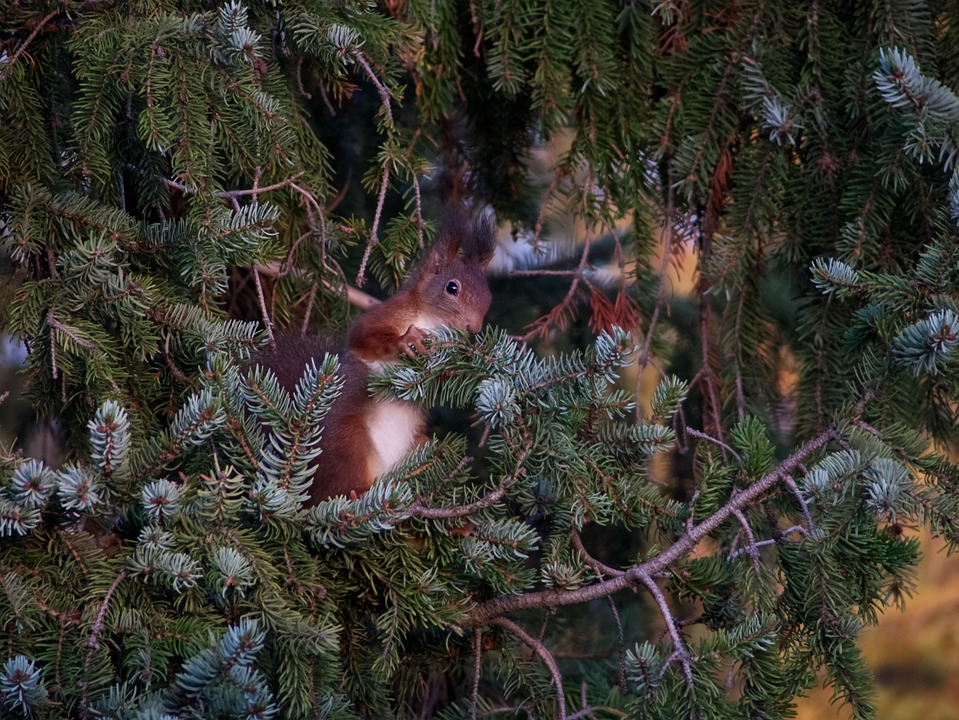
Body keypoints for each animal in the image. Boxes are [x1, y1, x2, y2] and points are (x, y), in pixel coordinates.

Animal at [254, 208, 496, 504]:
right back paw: (358, 494)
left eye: (488, 296)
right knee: (338, 488)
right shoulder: (387, 314)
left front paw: (453, 367)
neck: (433, 323)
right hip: (347, 440)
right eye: (452, 288)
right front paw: (407, 340)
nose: (474, 328)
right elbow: (364, 336)